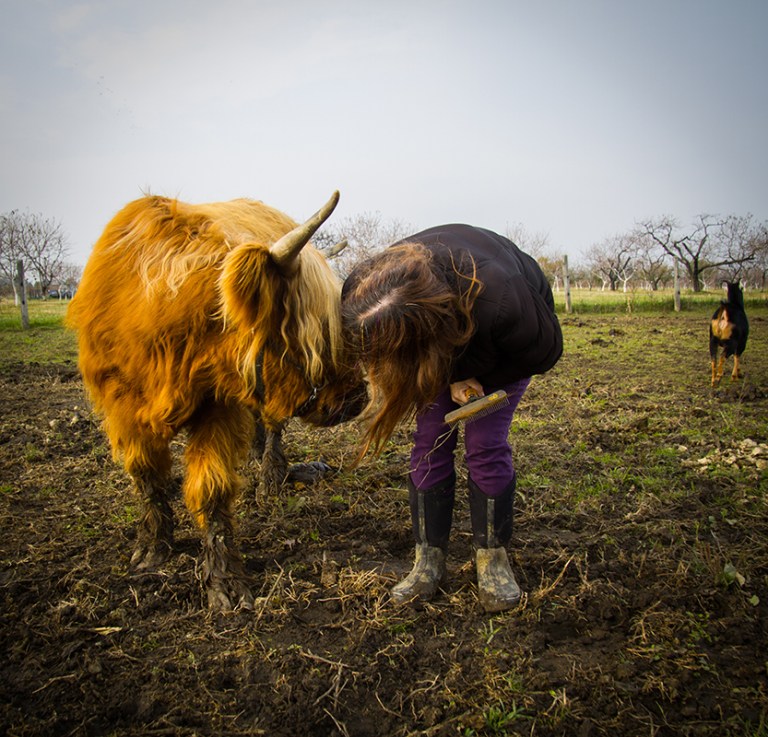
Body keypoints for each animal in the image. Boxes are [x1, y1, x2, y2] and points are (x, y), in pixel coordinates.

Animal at [66, 190, 367, 611]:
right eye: (313, 333)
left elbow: (211, 487)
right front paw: (153, 547)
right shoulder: (121, 407)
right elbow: (146, 475)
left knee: (272, 427)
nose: (360, 395)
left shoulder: (218, 407)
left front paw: (225, 581)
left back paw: (272, 480)